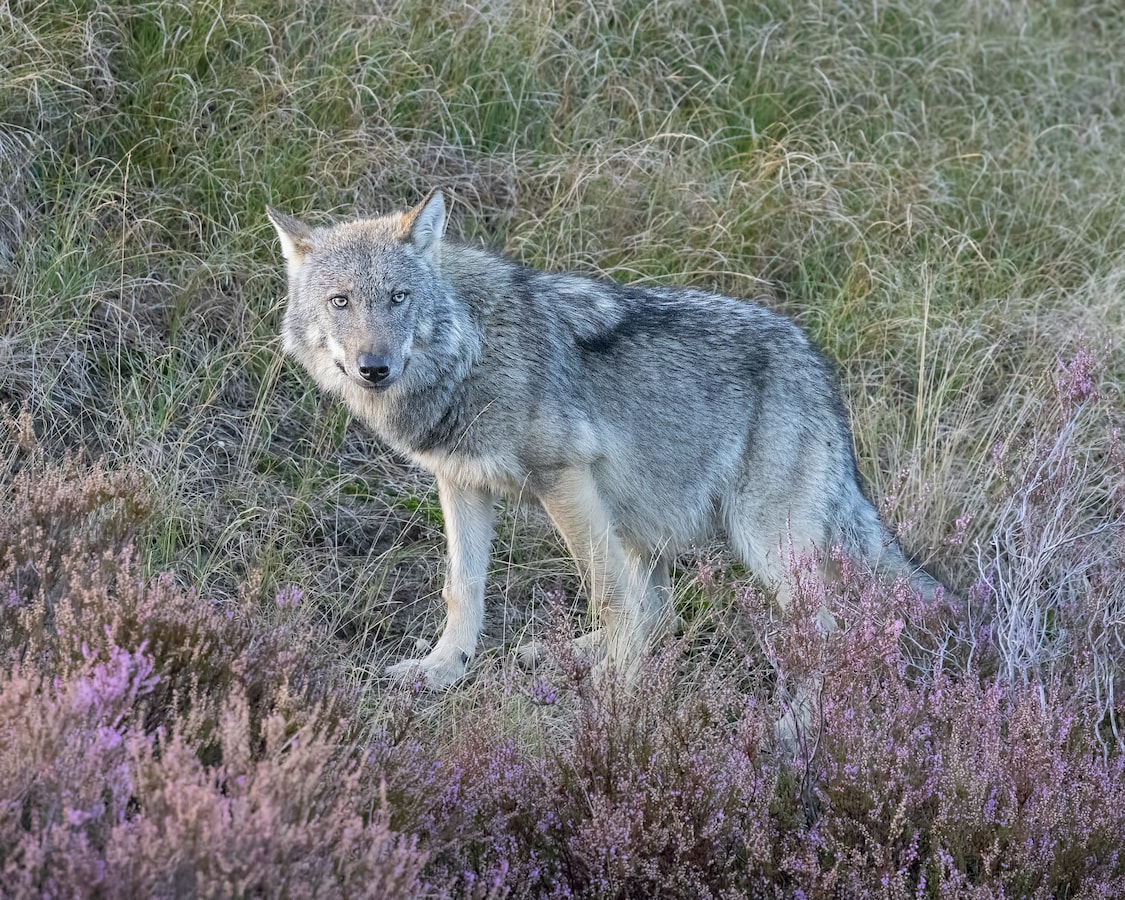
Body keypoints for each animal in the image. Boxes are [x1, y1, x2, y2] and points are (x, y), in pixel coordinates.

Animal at [267, 190, 943, 704]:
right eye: (341, 301)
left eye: (398, 298)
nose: (373, 367)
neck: (472, 351)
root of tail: (820, 366)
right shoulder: (461, 483)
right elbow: (465, 587)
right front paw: (442, 670)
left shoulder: (561, 479)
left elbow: (607, 593)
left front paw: (619, 689)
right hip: (642, 513)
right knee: (659, 609)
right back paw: (571, 651)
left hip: (760, 542)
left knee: (821, 634)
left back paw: (797, 724)